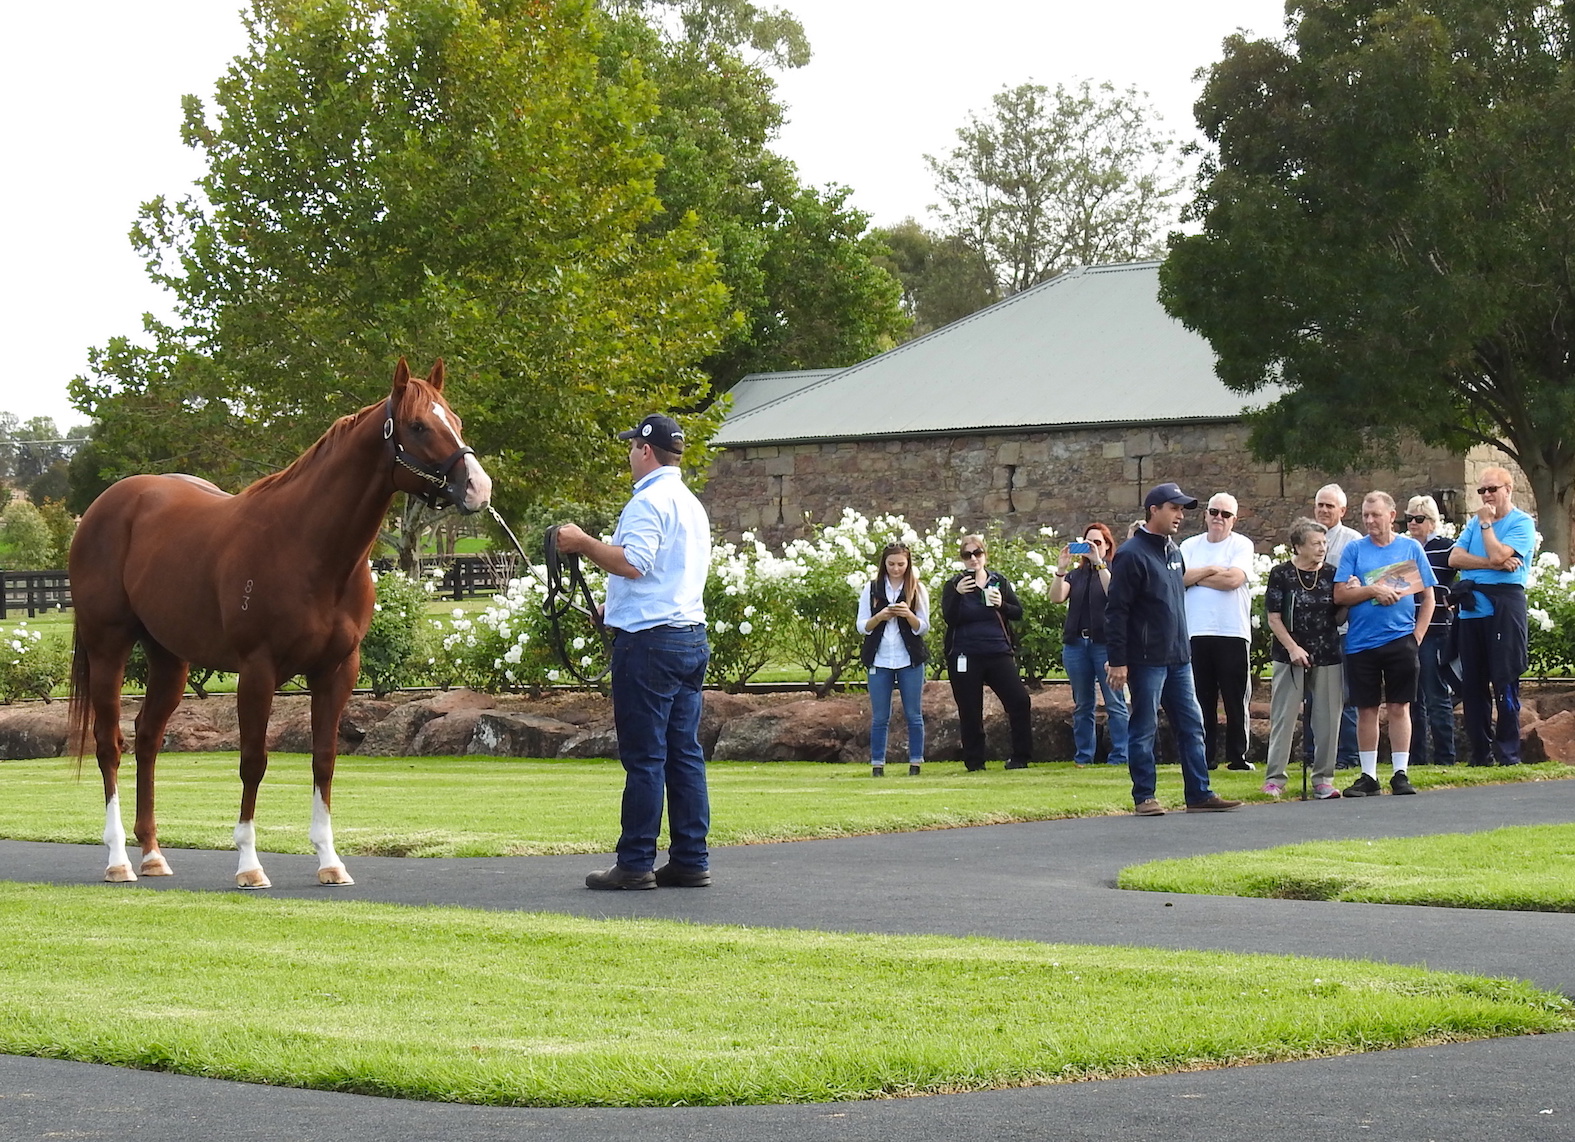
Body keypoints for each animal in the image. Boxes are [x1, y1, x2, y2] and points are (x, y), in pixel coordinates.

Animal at [68, 359, 492, 888]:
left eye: (456, 420)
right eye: (417, 425)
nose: (478, 487)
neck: (307, 546)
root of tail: (106, 506)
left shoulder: (338, 670)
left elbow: (324, 759)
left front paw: (330, 861)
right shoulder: (258, 669)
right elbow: (254, 761)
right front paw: (249, 865)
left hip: (170, 658)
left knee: (147, 738)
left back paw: (152, 855)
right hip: (109, 647)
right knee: (110, 744)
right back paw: (119, 860)